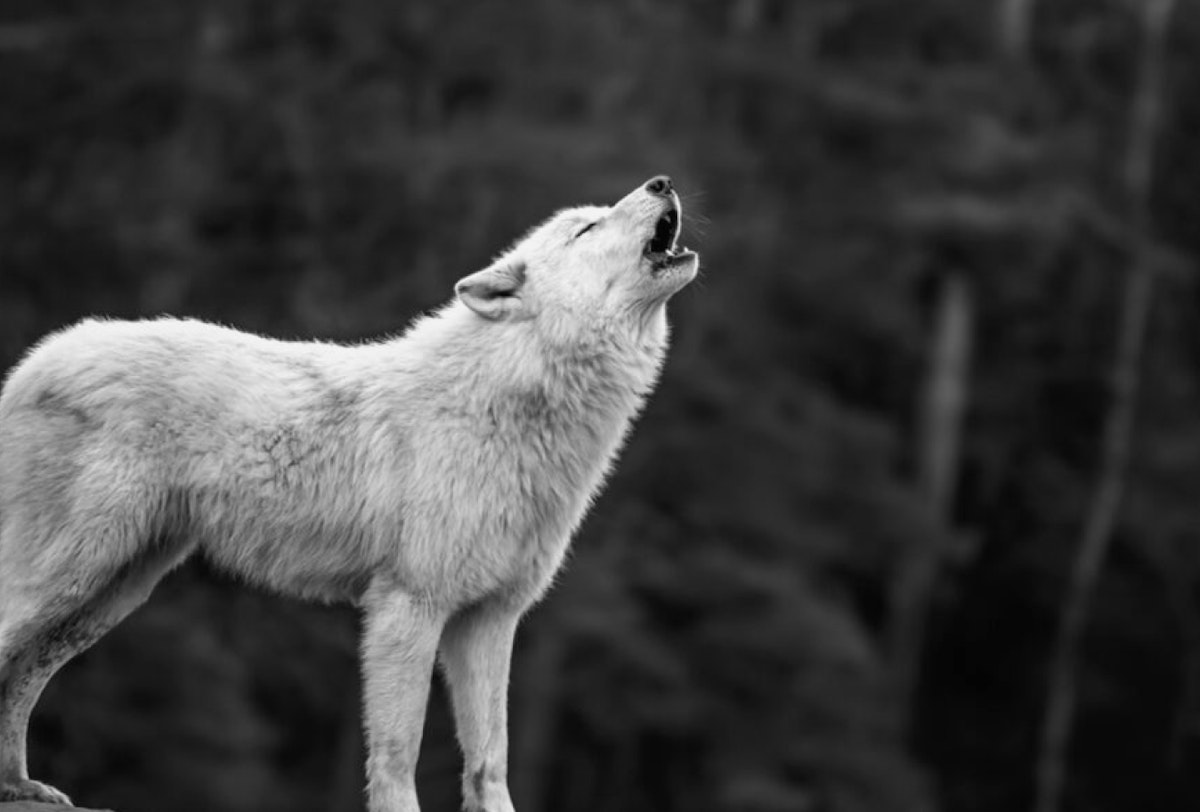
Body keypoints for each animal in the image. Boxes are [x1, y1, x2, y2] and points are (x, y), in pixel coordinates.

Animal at [0, 176, 698, 812]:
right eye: (587, 228)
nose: (662, 181)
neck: (507, 400)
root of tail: (33, 363)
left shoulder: (490, 619)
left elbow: (489, 760)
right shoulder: (406, 607)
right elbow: (398, 754)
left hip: (108, 595)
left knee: (20, 679)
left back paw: (21, 787)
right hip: (71, 577)